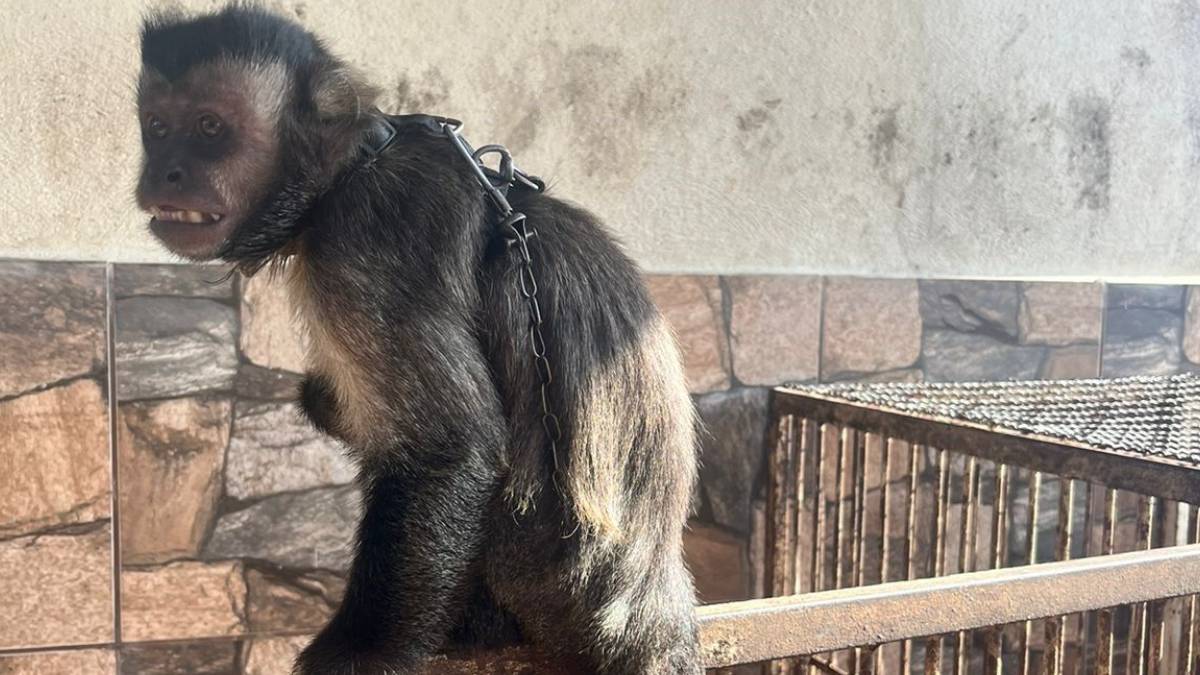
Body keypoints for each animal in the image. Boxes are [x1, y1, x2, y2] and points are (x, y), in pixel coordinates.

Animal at [134, 5, 702, 675]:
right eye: (156, 127)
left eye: (208, 127)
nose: (164, 170)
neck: (354, 164)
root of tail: (655, 611)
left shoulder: (365, 238)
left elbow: (449, 449)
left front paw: (356, 655)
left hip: (543, 577)